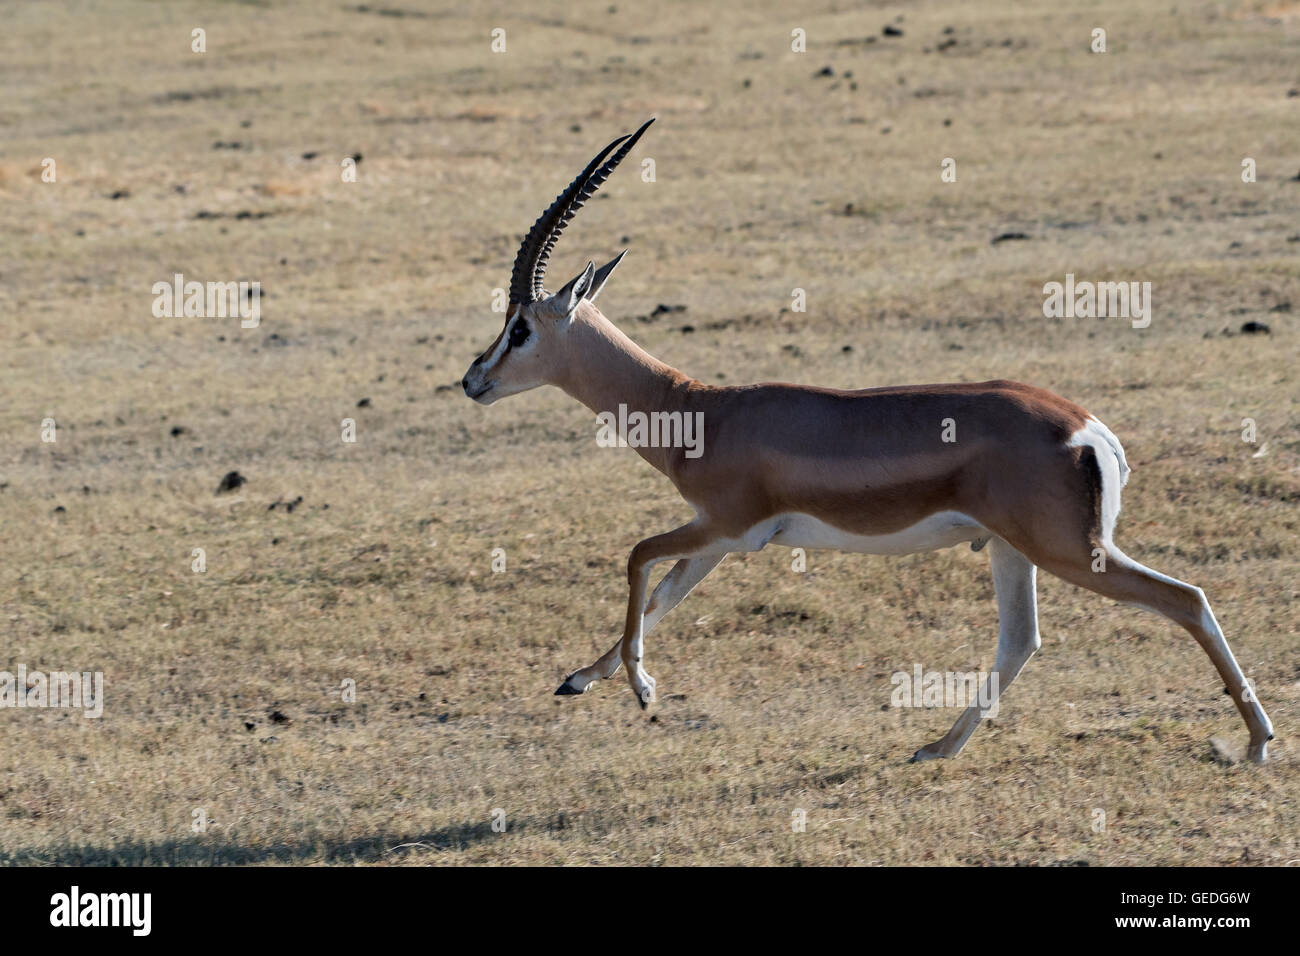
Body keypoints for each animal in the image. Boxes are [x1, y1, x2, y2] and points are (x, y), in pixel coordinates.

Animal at [461, 119, 1274, 764]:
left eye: (520, 327)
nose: (473, 378)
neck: (698, 411)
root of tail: (1087, 427)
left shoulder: (724, 525)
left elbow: (637, 561)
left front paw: (642, 690)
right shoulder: (725, 539)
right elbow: (664, 591)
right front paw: (579, 680)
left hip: (1072, 551)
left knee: (1185, 599)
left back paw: (1258, 742)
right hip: (1016, 549)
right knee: (1022, 640)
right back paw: (935, 748)